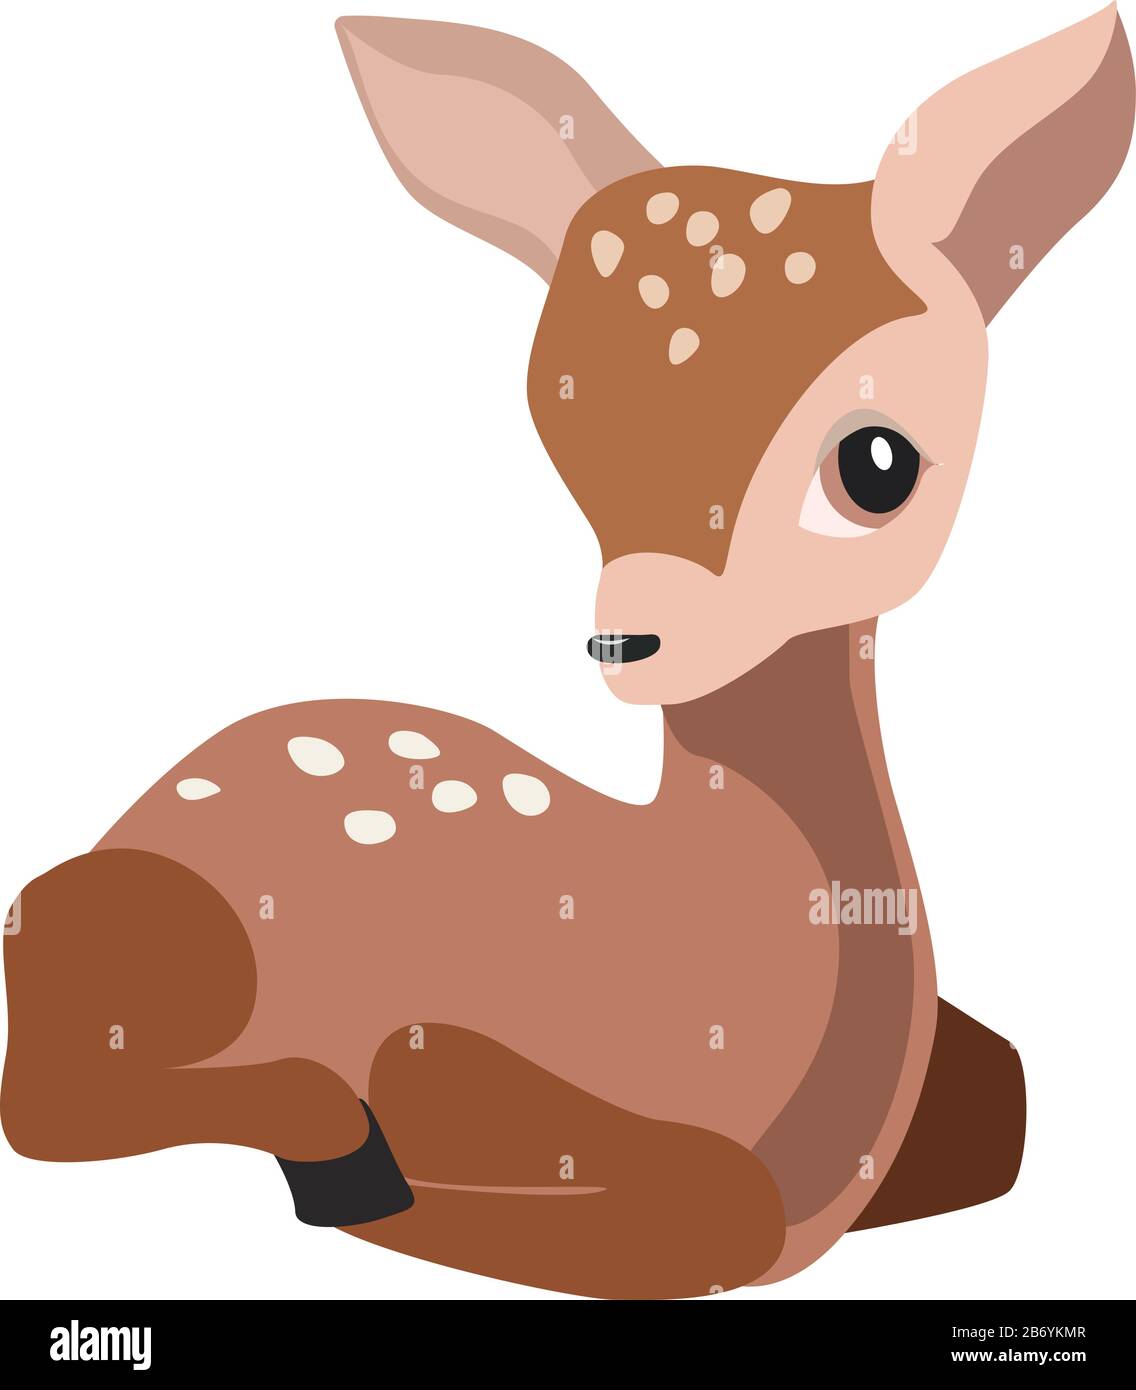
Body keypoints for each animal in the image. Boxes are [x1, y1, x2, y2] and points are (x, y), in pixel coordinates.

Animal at [2, 8, 1132, 1300]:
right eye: (556, 414)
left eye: (877, 462)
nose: (628, 636)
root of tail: (133, 807)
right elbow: (710, 1206)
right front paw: (409, 1167)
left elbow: (1003, 1100)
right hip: (170, 934)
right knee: (46, 1092)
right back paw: (337, 1153)